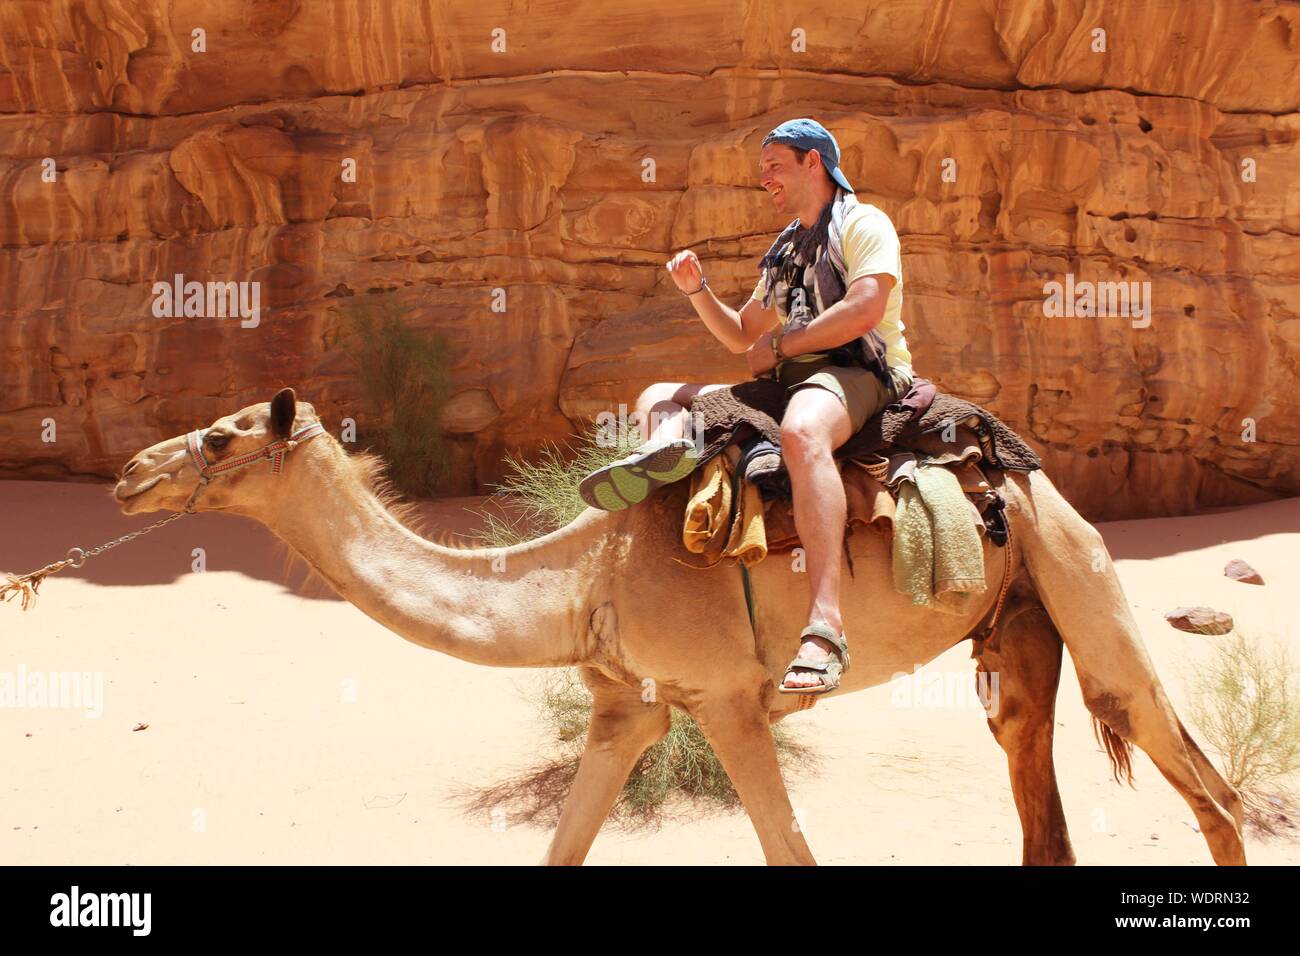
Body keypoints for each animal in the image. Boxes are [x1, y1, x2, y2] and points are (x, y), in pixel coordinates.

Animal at [112, 387, 1246, 866]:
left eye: (222, 437)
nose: (131, 472)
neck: (587, 574)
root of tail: (1019, 467)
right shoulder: (628, 708)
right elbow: (561, 847)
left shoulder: (728, 699)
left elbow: (791, 851)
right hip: (1018, 621)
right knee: (1038, 789)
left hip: (1076, 573)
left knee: (1203, 783)